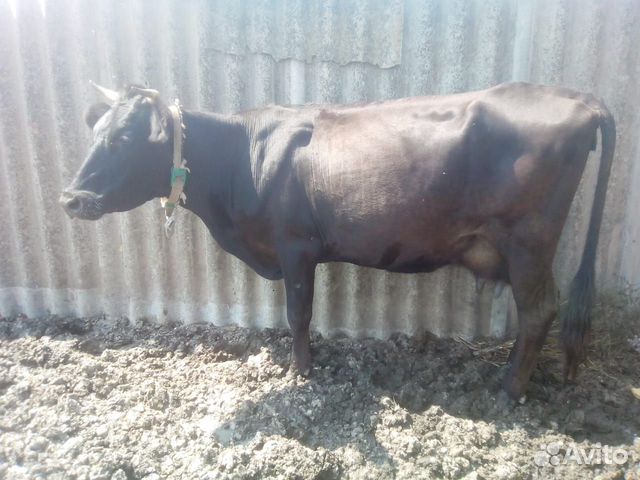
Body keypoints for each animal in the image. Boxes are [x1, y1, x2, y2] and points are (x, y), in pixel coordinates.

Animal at [60, 82, 615, 402]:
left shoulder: (296, 246)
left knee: (540, 310)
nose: (70, 199)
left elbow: (298, 314)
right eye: (95, 132)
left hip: (529, 240)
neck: (243, 158)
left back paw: (510, 389)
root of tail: (576, 98)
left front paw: (301, 371)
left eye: (124, 139)